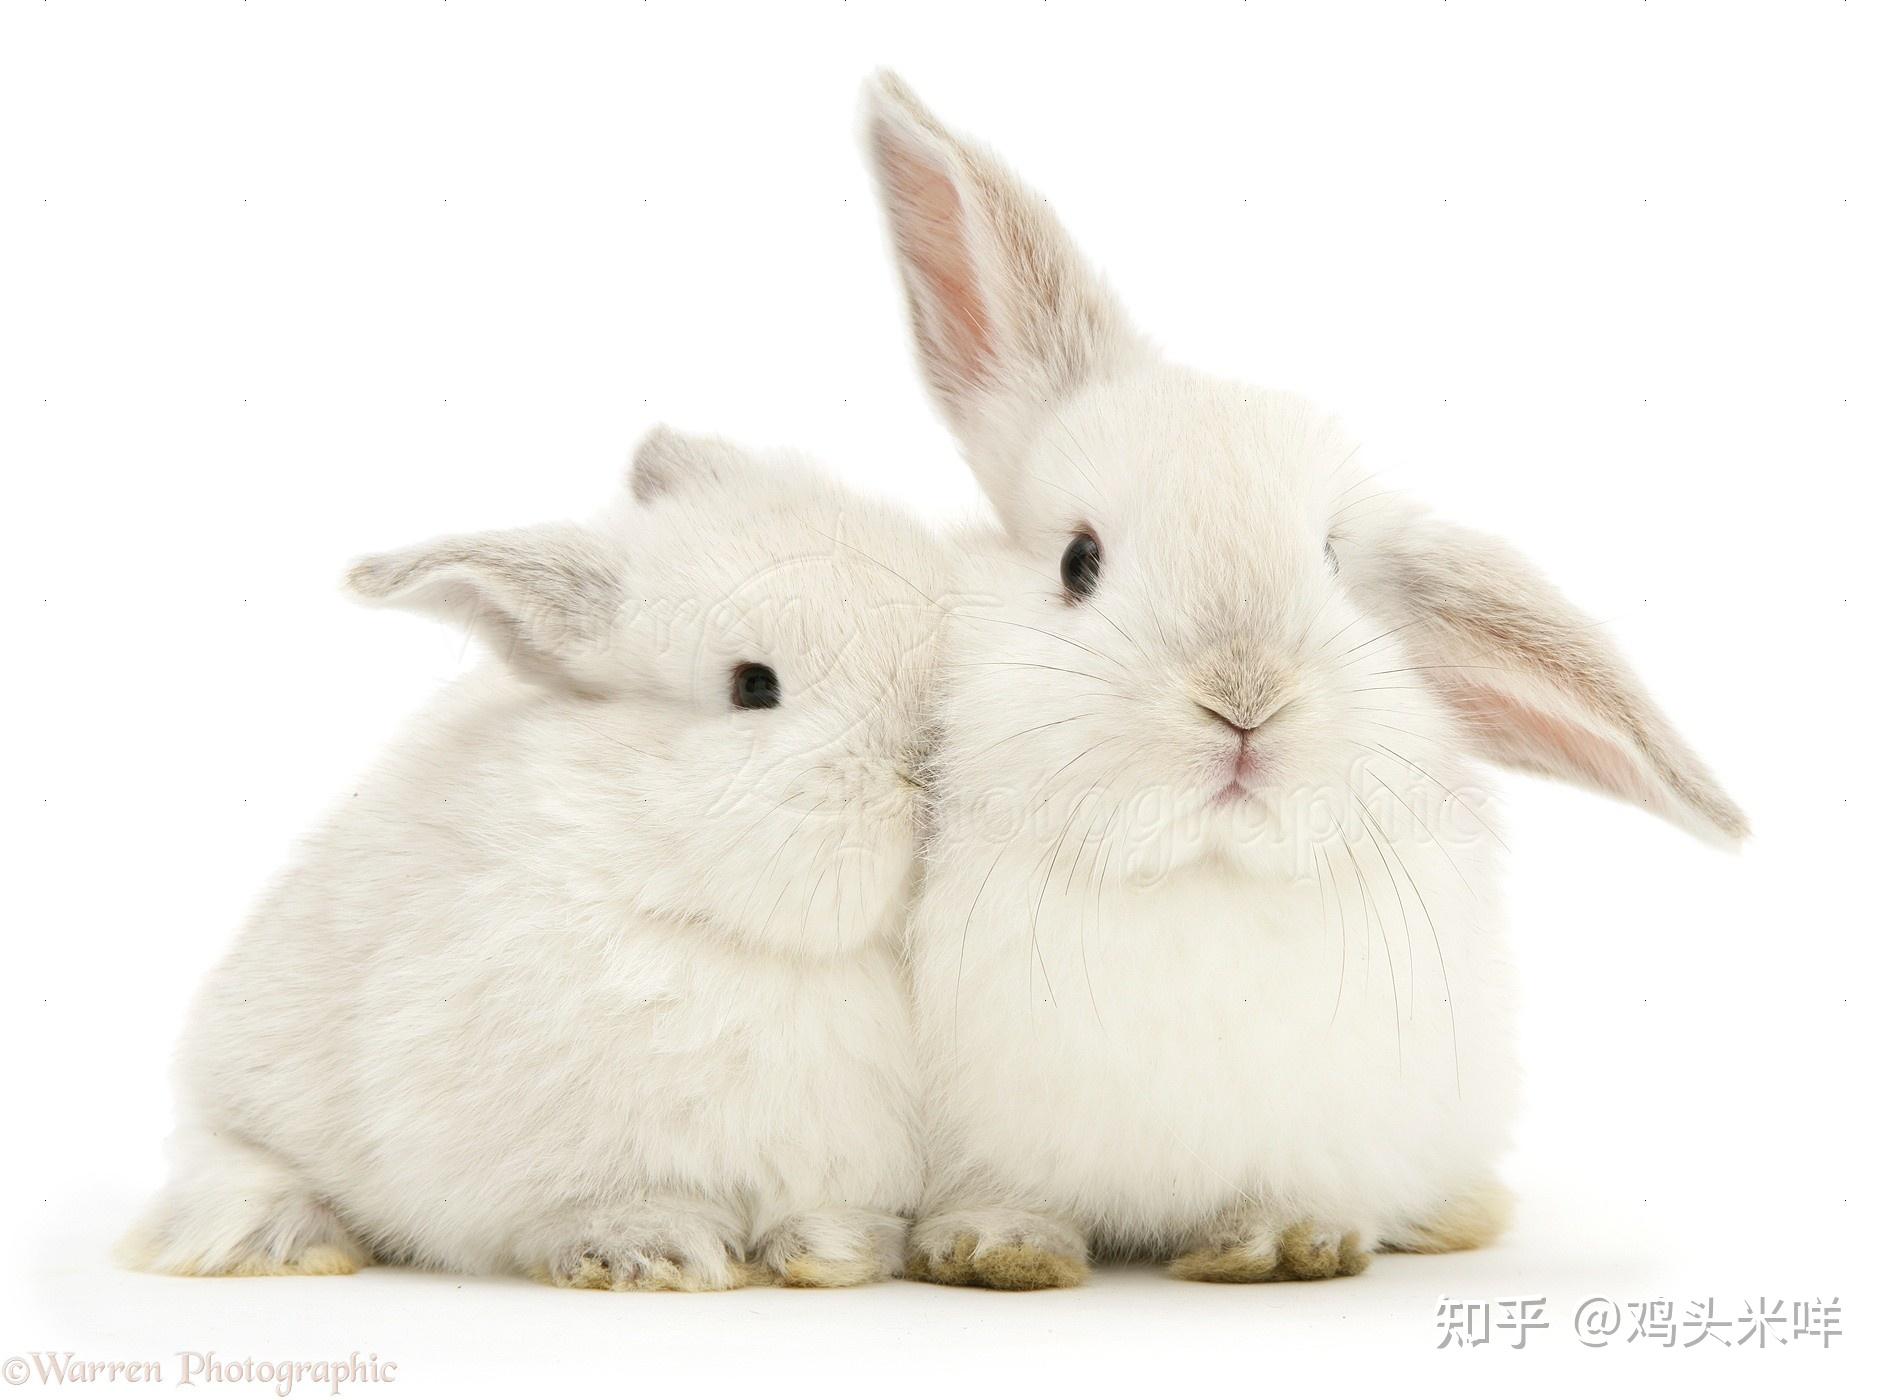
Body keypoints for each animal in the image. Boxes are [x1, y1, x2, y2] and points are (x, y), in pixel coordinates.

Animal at [119, 426, 955, 1290]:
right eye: (754, 686)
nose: (929, 756)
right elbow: (605, 1204)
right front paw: (656, 1252)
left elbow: (826, 1211)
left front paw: (833, 1251)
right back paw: (278, 1239)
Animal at [861, 73, 1747, 1289]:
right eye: (1078, 563)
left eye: (1331, 565)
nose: (1244, 697)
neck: (1200, 875)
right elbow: (1006, 1196)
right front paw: (997, 1247)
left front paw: (1282, 1242)